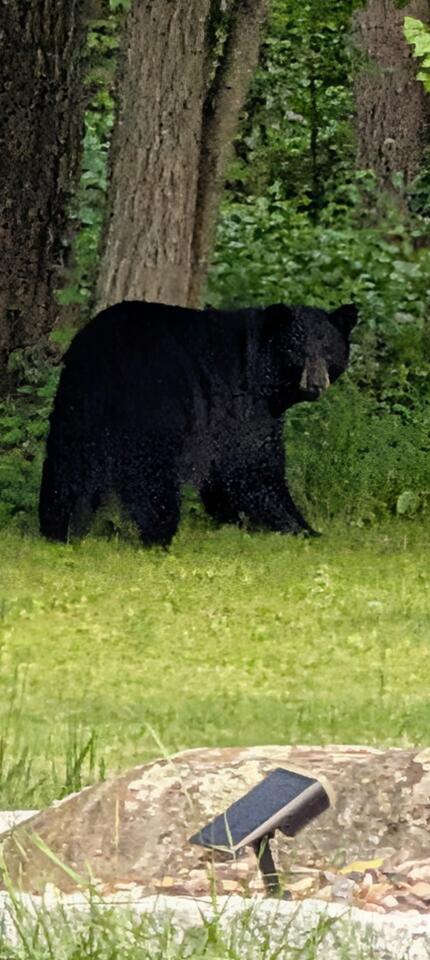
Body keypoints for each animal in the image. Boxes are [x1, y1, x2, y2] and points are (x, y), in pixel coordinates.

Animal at [39, 299, 358, 546]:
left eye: (328, 349)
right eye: (296, 349)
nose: (316, 383)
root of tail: (101, 354)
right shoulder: (241, 406)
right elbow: (254, 466)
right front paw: (301, 527)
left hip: (74, 410)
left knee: (66, 470)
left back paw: (59, 528)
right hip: (152, 409)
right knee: (151, 476)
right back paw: (159, 534)